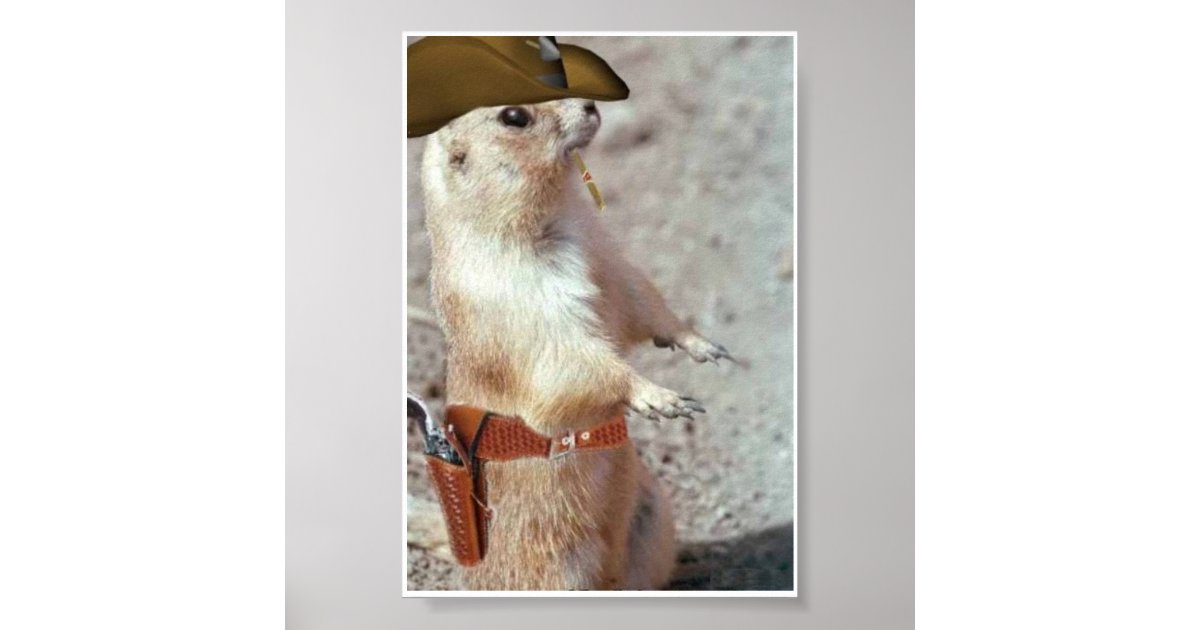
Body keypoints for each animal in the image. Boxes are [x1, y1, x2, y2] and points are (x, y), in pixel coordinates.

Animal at [418, 97, 731, 590]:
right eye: (514, 116)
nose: (591, 104)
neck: (555, 219)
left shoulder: (608, 259)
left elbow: (641, 300)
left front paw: (702, 345)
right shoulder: (521, 309)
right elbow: (572, 360)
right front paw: (661, 398)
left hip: (655, 515)